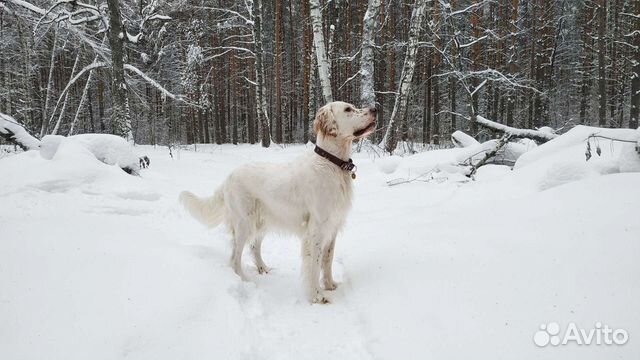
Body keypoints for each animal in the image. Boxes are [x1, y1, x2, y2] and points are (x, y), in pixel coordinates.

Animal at [180, 101, 378, 304]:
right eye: (348, 109)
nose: (375, 108)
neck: (332, 165)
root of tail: (229, 177)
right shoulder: (316, 230)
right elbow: (314, 266)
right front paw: (316, 296)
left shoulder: (332, 228)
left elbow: (327, 260)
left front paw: (330, 285)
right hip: (244, 223)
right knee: (235, 256)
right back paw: (243, 279)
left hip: (262, 222)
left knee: (254, 247)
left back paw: (263, 268)